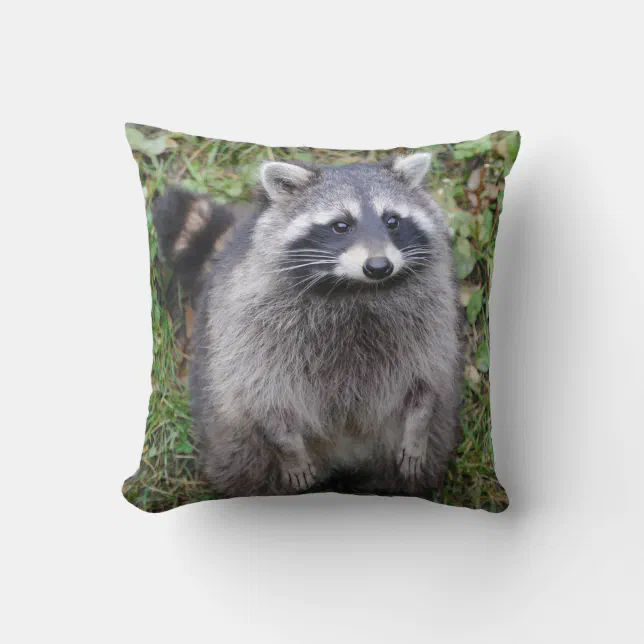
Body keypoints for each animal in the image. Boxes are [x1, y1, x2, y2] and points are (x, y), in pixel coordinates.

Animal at [153, 153, 463, 498]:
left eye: (392, 221)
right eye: (341, 225)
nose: (379, 267)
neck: (355, 289)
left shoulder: (431, 314)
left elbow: (427, 380)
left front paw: (417, 428)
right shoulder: (252, 323)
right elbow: (263, 392)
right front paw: (288, 448)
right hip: (230, 433)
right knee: (242, 452)